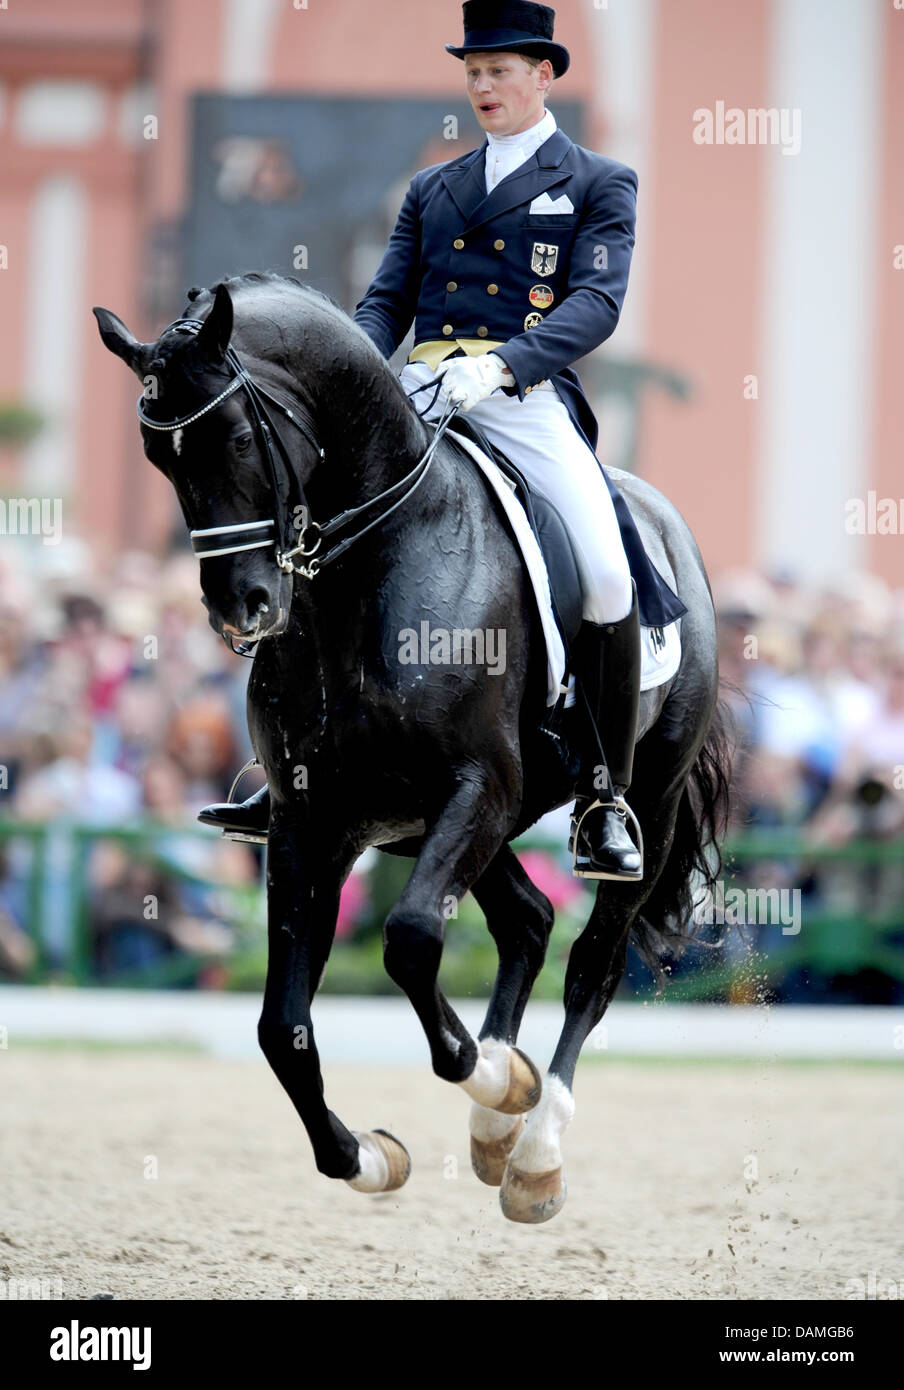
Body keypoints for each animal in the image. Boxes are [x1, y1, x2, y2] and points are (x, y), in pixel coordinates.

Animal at [93, 272, 732, 1224]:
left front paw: (498, 1081)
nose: (242, 606)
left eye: (239, 435)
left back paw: (534, 1148)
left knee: (592, 960)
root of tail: (664, 522)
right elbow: (281, 1027)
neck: (367, 574)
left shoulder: (477, 787)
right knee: (529, 920)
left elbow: (410, 938)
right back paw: (495, 1132)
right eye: (155, 455)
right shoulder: (313, 822)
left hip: (633, 805)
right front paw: (366, 1157)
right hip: (441, 827)